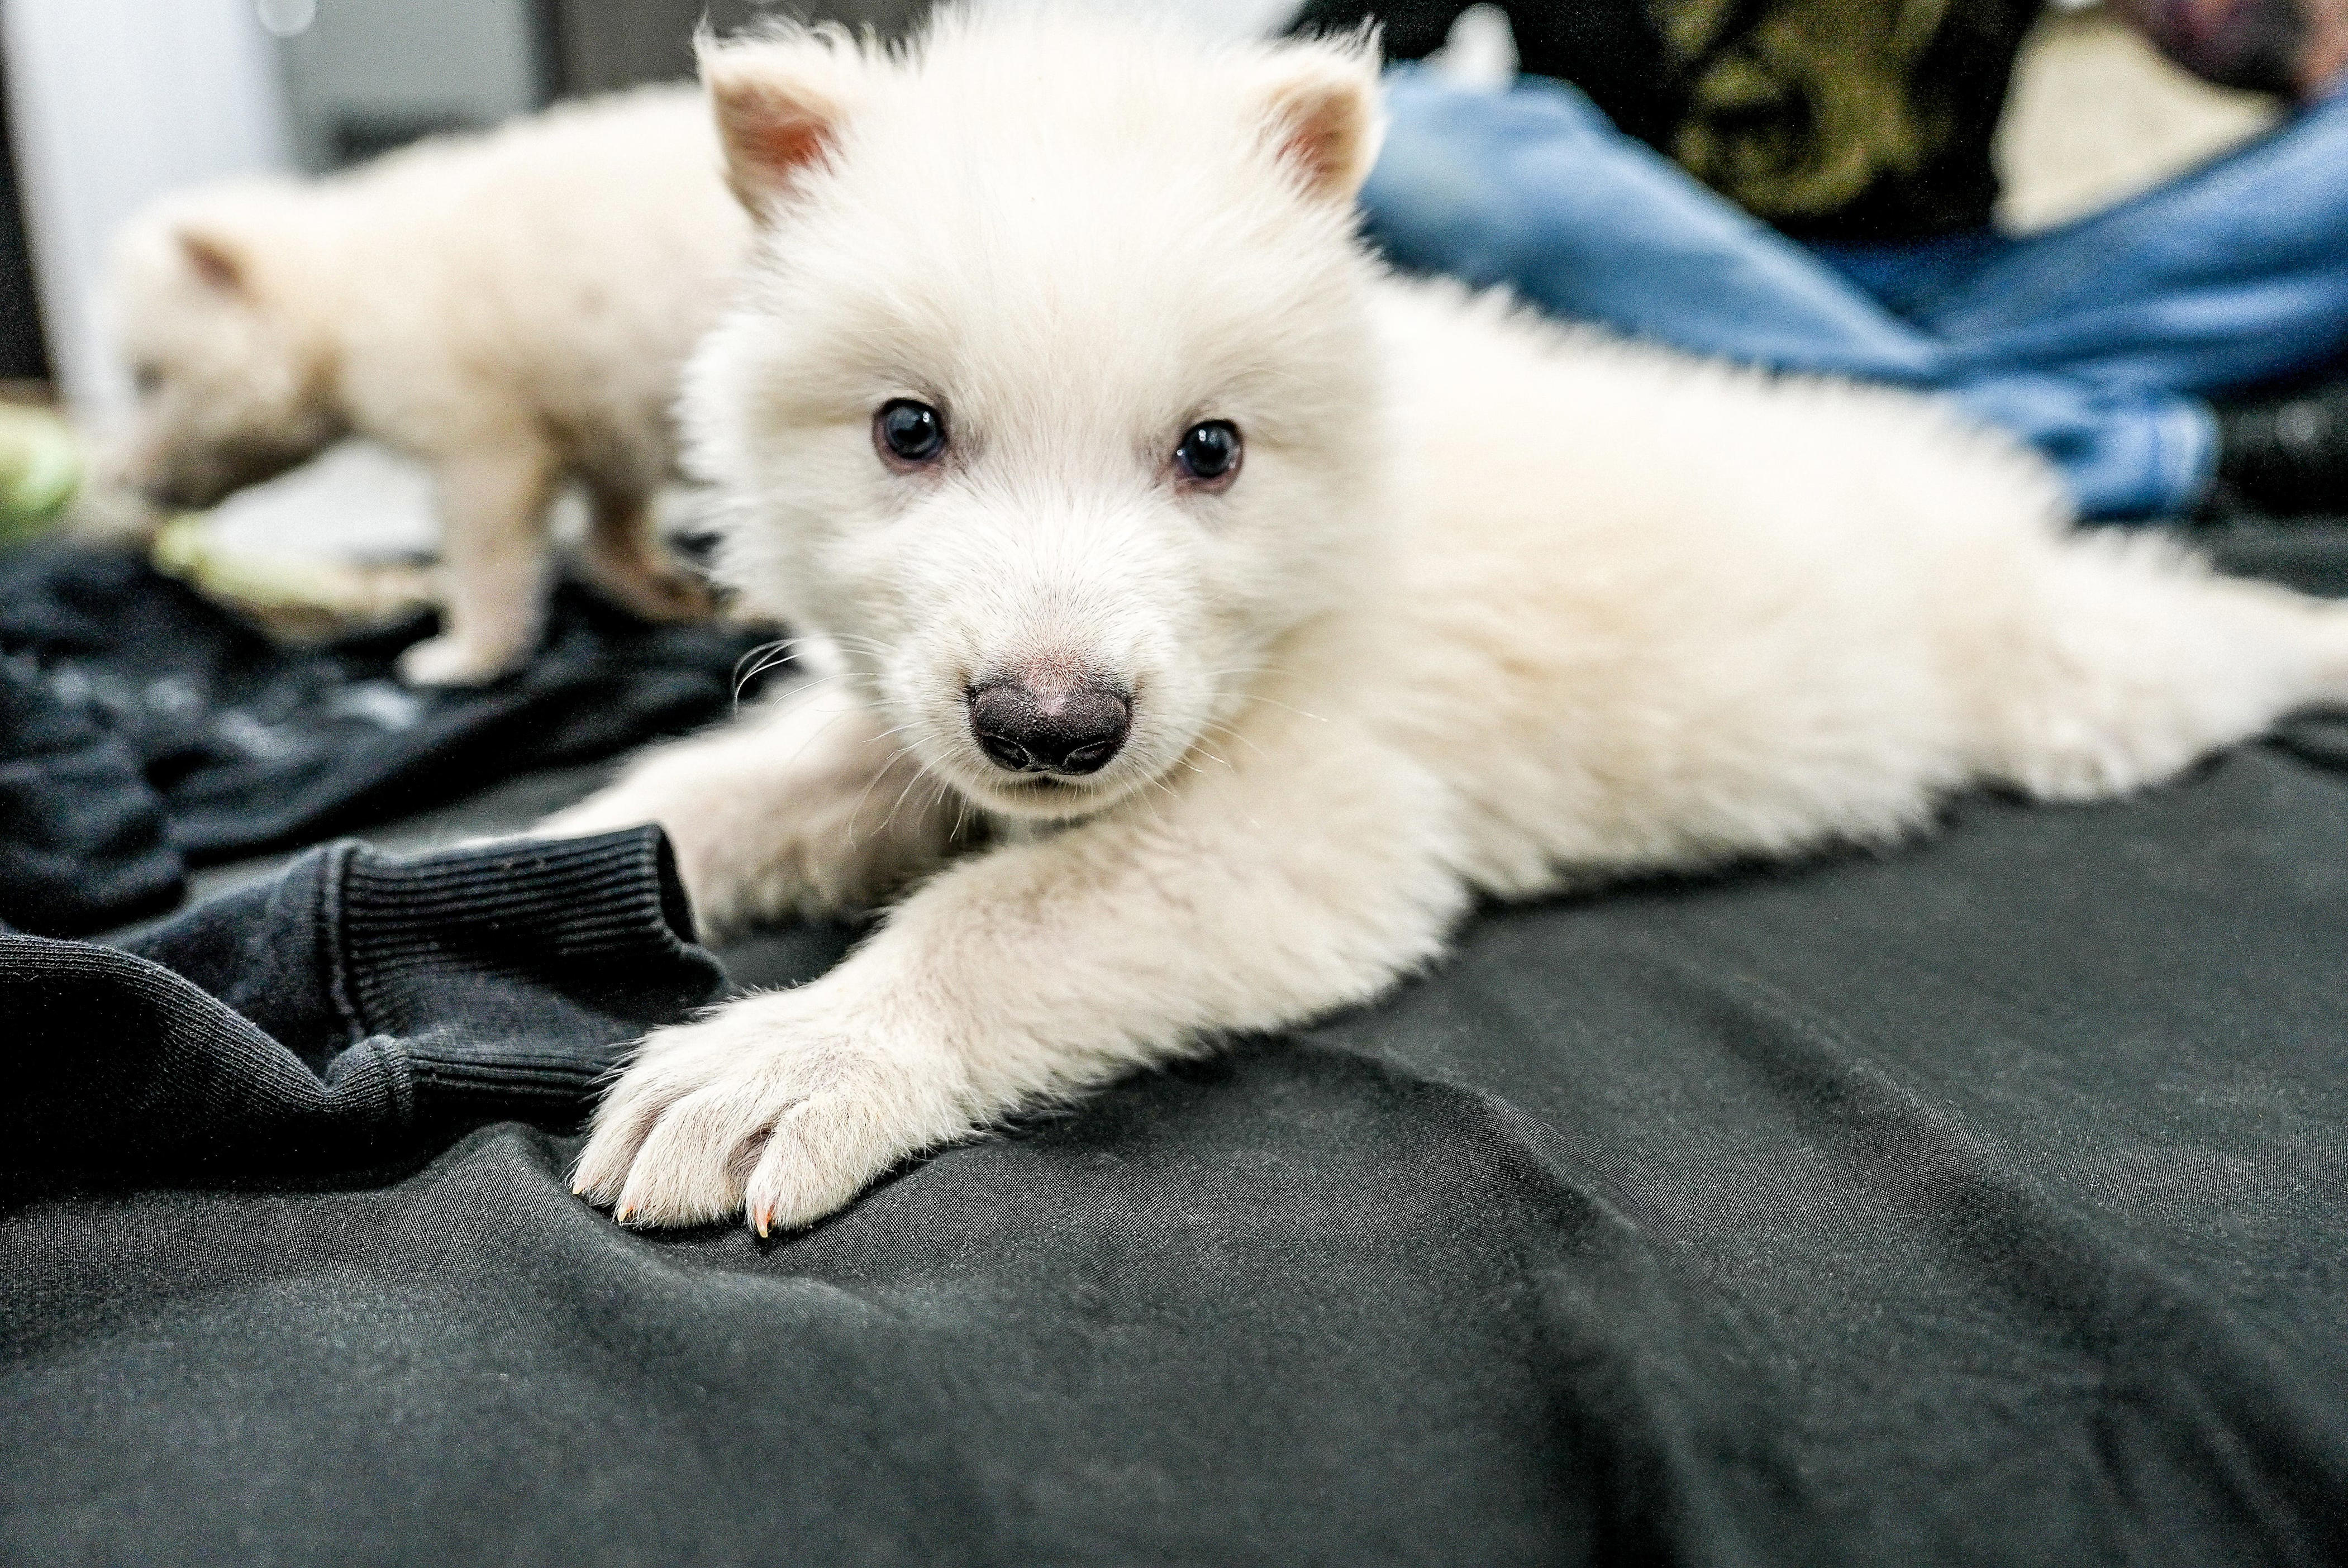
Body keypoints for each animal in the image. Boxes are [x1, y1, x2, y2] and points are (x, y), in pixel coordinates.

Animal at [107, 88, 744, 684]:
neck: (342, 287)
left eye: (148, 380)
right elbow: (613, 511)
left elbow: (484, 543)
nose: (122, 478)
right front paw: (659, 588)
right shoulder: (592, 404)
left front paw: (467, 654)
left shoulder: (482, 431)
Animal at [545, 11, 2348, 1234]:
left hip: (2067, 676)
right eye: (907, 430)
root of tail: (1983, 493)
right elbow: (727, 790)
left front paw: (789, 1061)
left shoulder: (1324, 805)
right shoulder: (914, 718)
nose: (1053, 727)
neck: (1319, 574)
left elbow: (1018, 916)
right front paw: (539, 860)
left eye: (1211, 448)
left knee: (2197, 632)